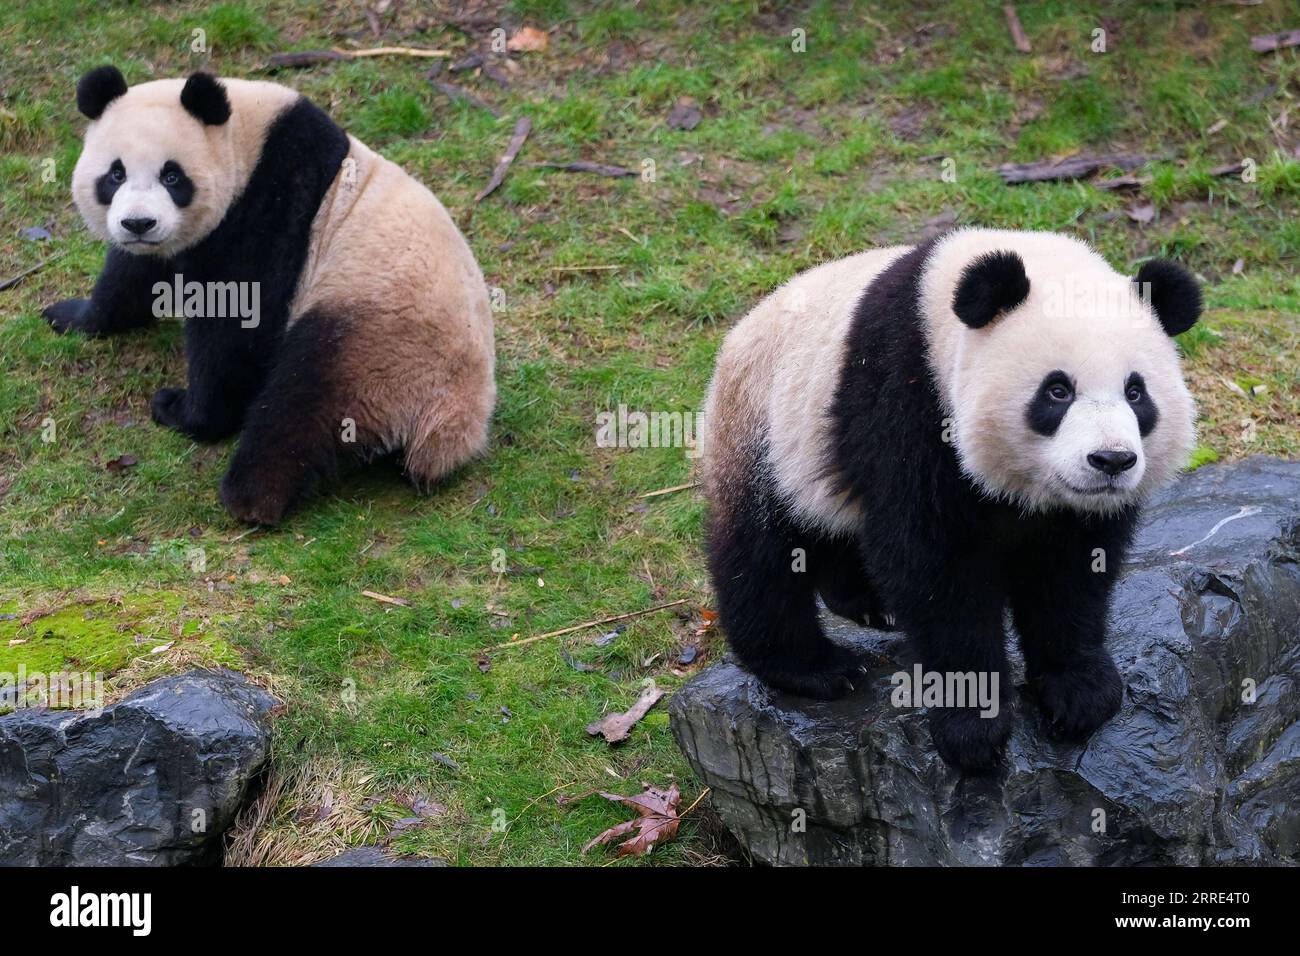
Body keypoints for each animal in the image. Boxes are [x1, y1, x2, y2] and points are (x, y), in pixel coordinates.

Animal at [44, 67, 495, 525]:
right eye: (115, 175)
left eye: (172, 177)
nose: (138, 223)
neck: (247, 138)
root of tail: (452, 424)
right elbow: (132, 275)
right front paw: (72, 316)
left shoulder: (270, 210)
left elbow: (236, 324)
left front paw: (189, 413)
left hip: (381, 342)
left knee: (303, 402)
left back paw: (250, 496)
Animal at [701, 228, 1201, 771]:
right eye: (1057, 390)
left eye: (1136, 392)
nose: (1111, 461)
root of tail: (735, 337)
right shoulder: (905, 394)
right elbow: (934, 563)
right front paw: (973, 723)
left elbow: (1070, 570)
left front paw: (1079, 690)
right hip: (766, 428)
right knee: (763, 551)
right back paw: (813, 667)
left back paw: (868, 603)